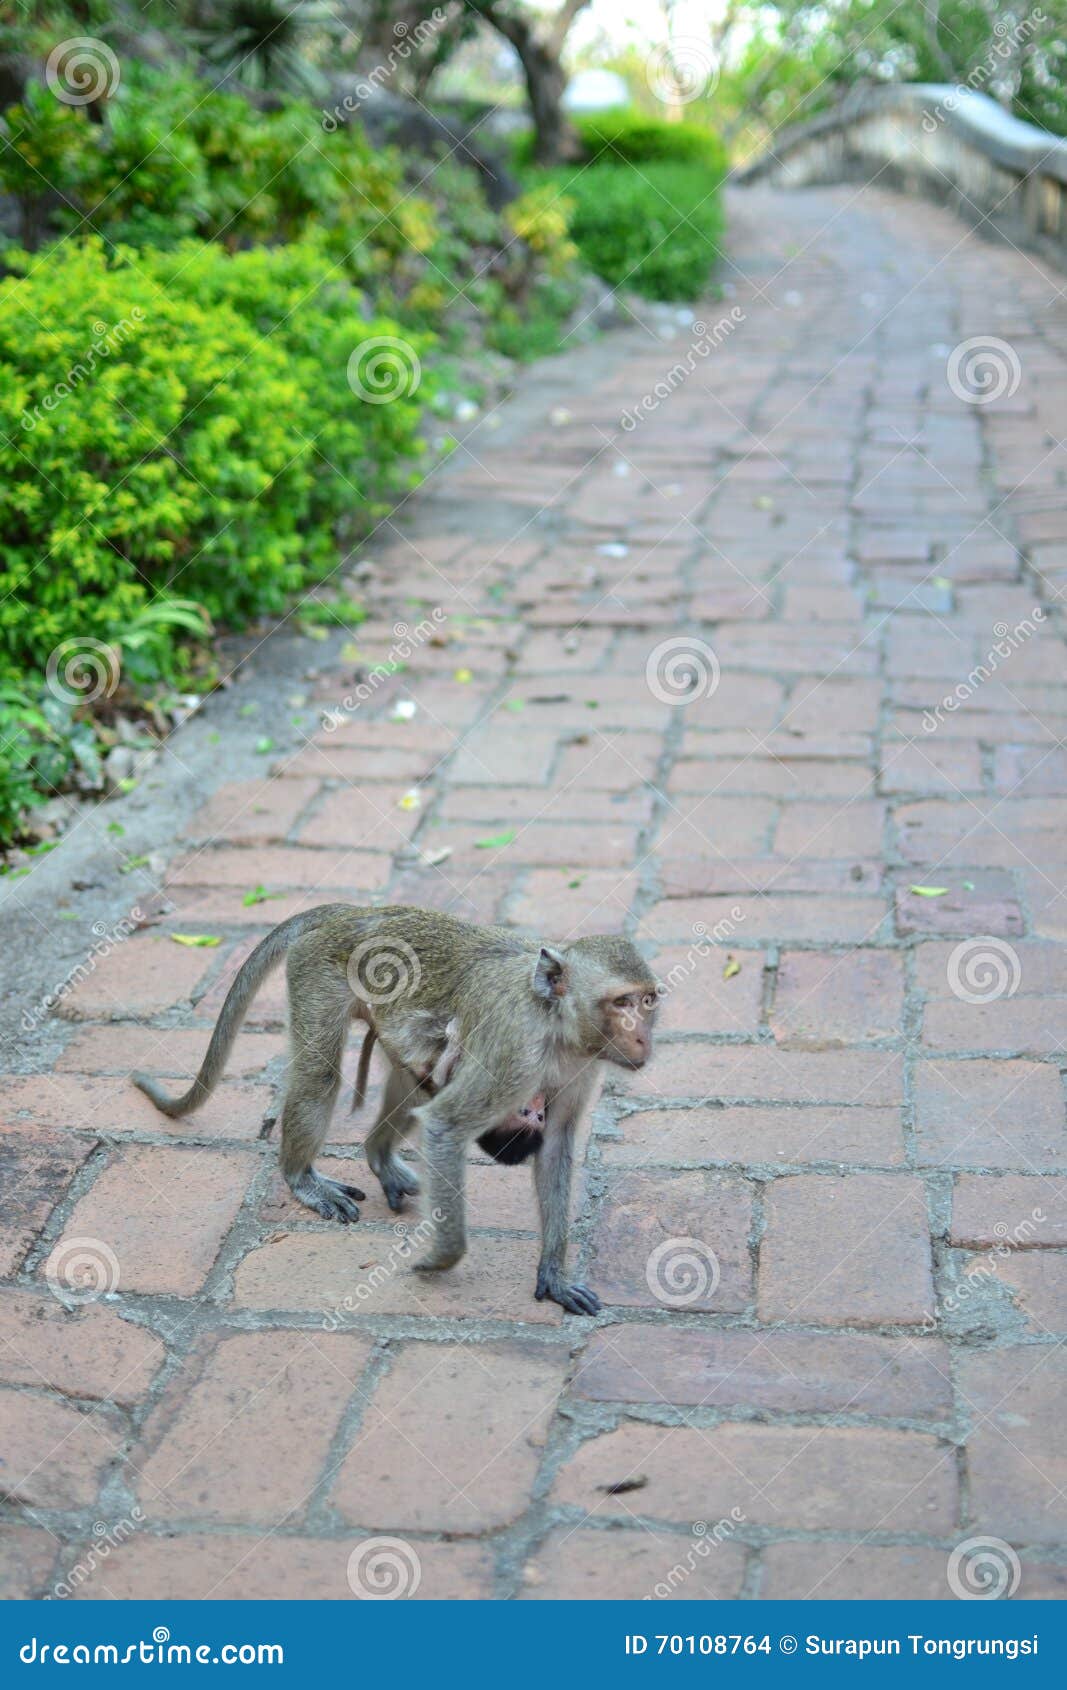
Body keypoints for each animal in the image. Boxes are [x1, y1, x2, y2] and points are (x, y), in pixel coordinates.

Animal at [132, 904, 658, 1313]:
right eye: (622, 1002)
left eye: (649, 1001)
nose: (642, 1038)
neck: (555, 1023)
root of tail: (357, 912)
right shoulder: (514, 1054)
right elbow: (445, 1124)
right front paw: (442, 1258)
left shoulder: (581, 1067)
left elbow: (554, 1148)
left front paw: (553, 1273)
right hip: (316, 972)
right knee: (322, 1076)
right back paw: (301, 1177)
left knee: (413, 1080)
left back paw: (378, 1155)